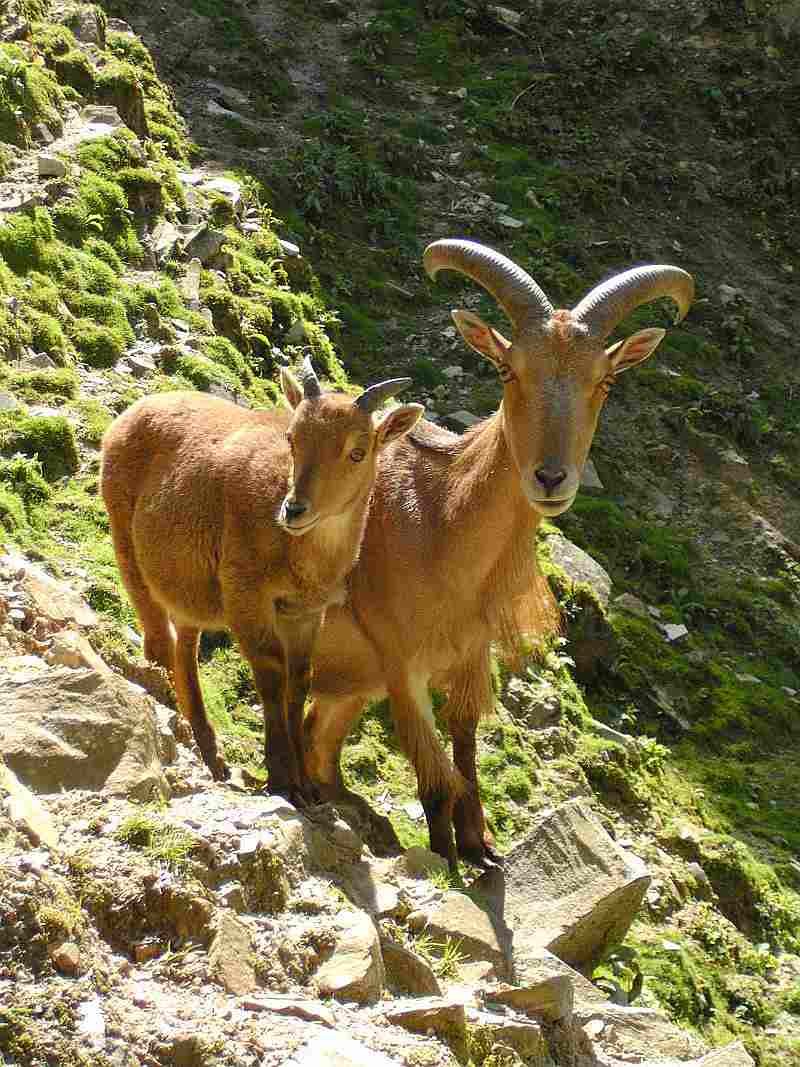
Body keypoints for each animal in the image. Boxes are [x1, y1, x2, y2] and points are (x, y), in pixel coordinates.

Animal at [100, 359, 423, 804]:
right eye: (292, 438)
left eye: (357, 452)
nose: (294, 509)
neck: (300, 553)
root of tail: (129, 414)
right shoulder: (245, 592)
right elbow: (270, 670)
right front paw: (283, 777)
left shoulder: (305, 611)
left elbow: (299, 679)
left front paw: (307, 783)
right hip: (126, 546)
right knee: (158, 640)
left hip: (187, 583)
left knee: (185, 645)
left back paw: (210, 750)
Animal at [304, 239, 694, 866]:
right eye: (510, 370)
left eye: (605, 381)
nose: (551, 477)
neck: (439, 523)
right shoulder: (400, 661)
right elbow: (435, 772)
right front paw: (447, 853)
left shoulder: (470, 654)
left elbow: (464, 746)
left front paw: (480, 844)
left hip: (348, 685)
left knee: (320, 740)